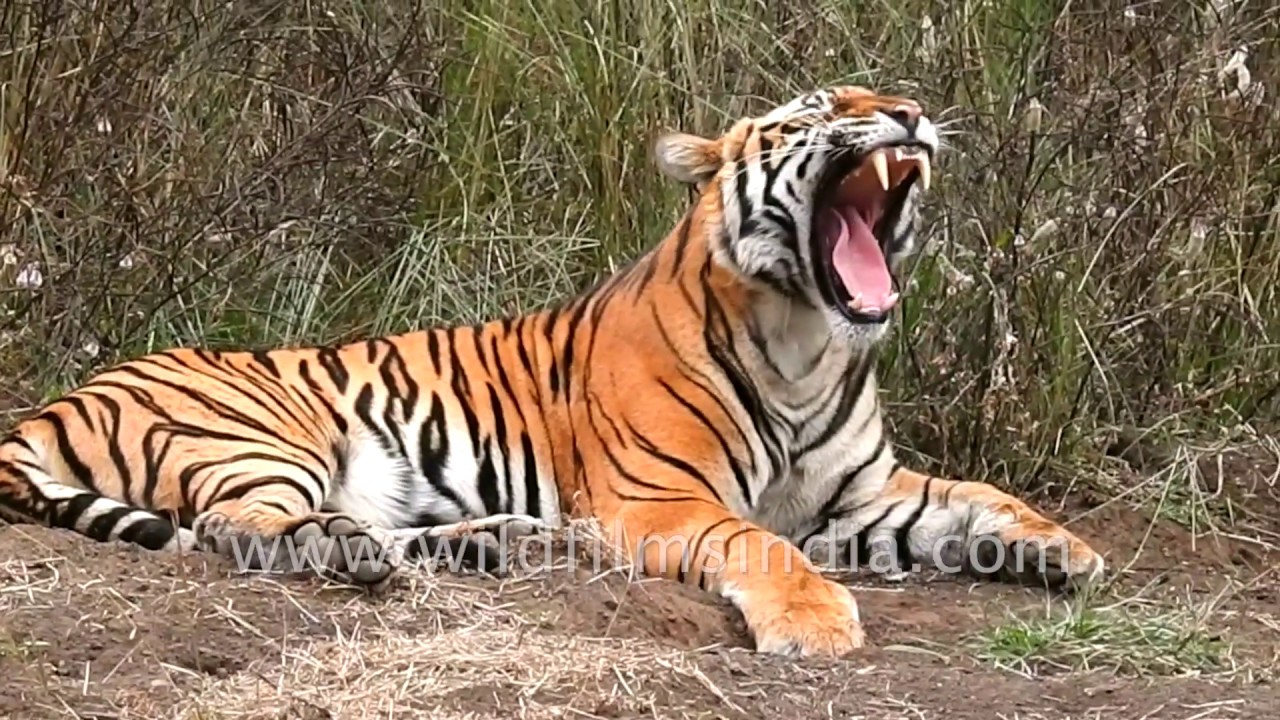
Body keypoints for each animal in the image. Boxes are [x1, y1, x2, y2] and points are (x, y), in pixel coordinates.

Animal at [0, 85, 1104, 658]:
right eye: (819, 110)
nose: (910, 113)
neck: (805, 336)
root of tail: (62, 397)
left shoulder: (859, 494)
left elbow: (981, 496)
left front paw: (1065, 551)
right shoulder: (664, 497)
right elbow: (758, 545)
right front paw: (815, 624)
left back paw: (501, 542)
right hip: (264, 434)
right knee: (248, 528)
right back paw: (369, 551)